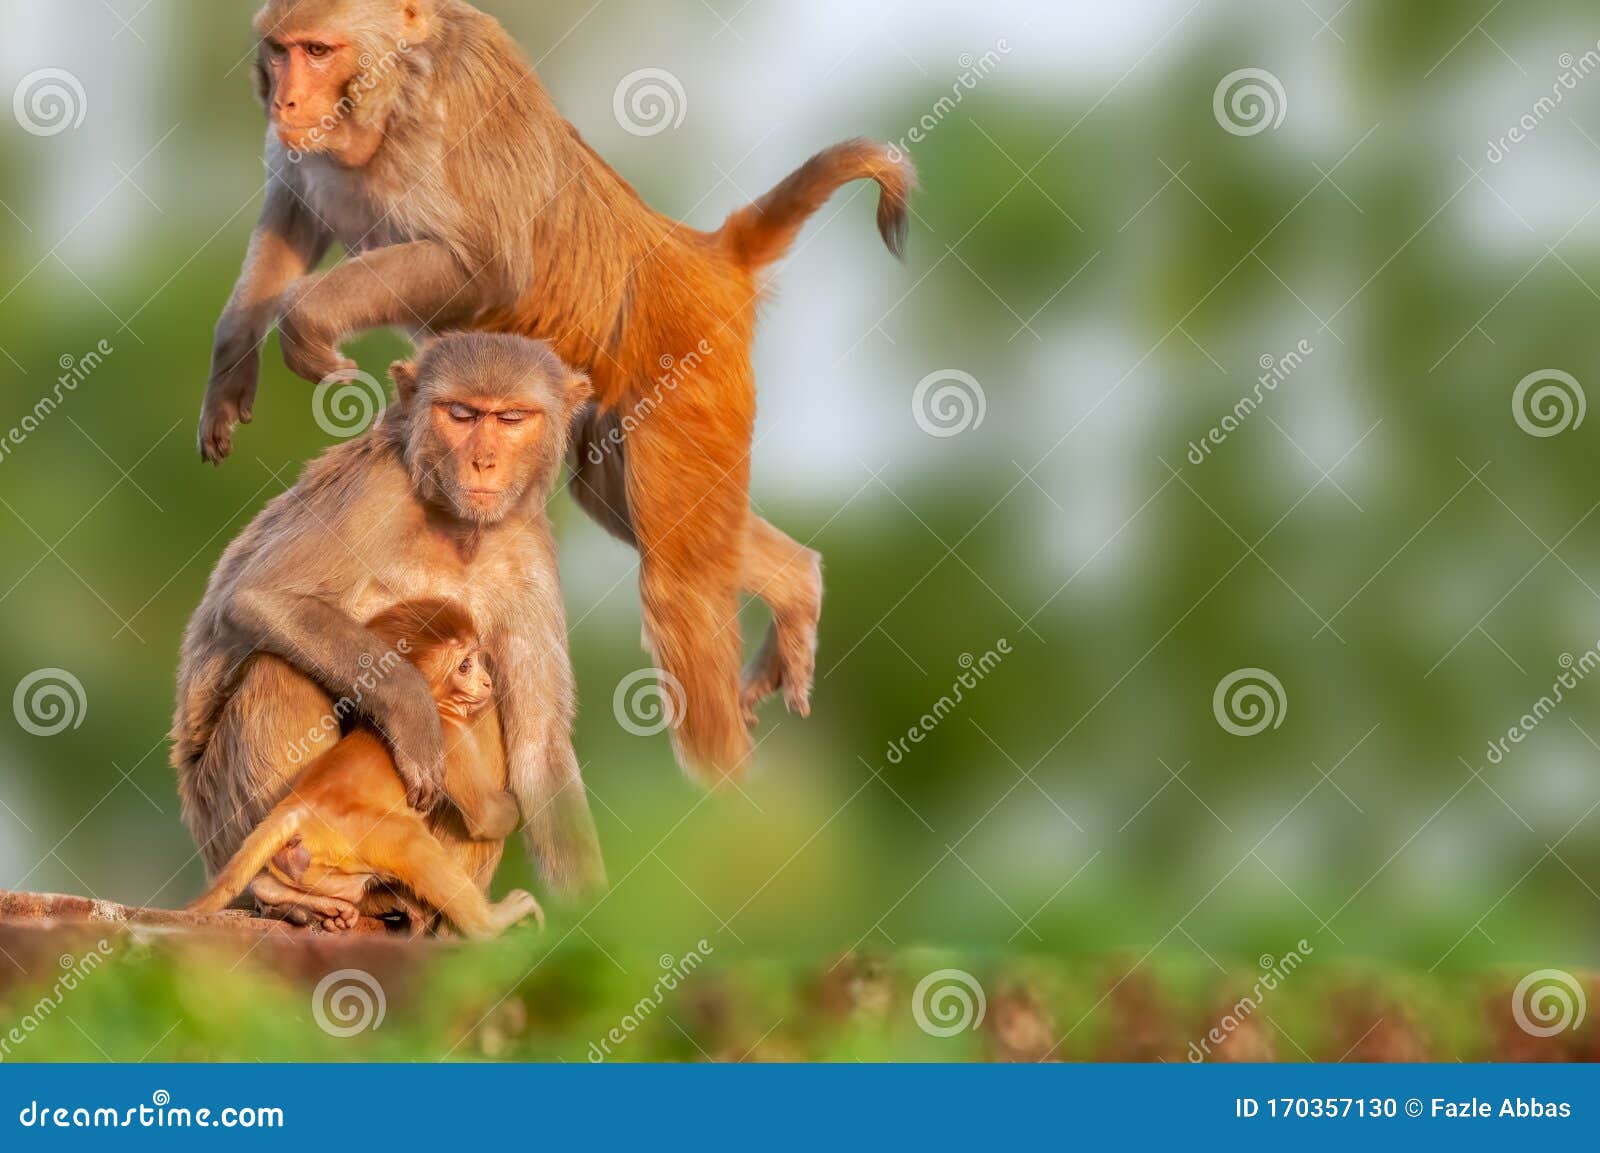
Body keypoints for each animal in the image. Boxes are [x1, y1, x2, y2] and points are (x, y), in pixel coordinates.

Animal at [189, 598, 541, 938]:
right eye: (465, 666)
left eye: (476, 659)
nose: (487, 681)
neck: (437, 708)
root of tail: (294, 808)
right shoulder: (451, 739)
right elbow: (486, 818)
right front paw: (521, 806)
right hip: (358, 833)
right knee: (410, 844)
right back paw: (490, 924)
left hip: (317, 859)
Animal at [197, 0, 916, 784]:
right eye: (282, 50)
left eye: (320, 51)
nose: (287, 102)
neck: (388, 107)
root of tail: (702, 252)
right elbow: (292, 215)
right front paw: (231, 366)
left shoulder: (453, 113)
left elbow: (490, 267)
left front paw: (306, 321)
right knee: (621, 506)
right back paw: (795, 584)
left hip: (693, 385)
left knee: (680, 583)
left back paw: (726, 783)